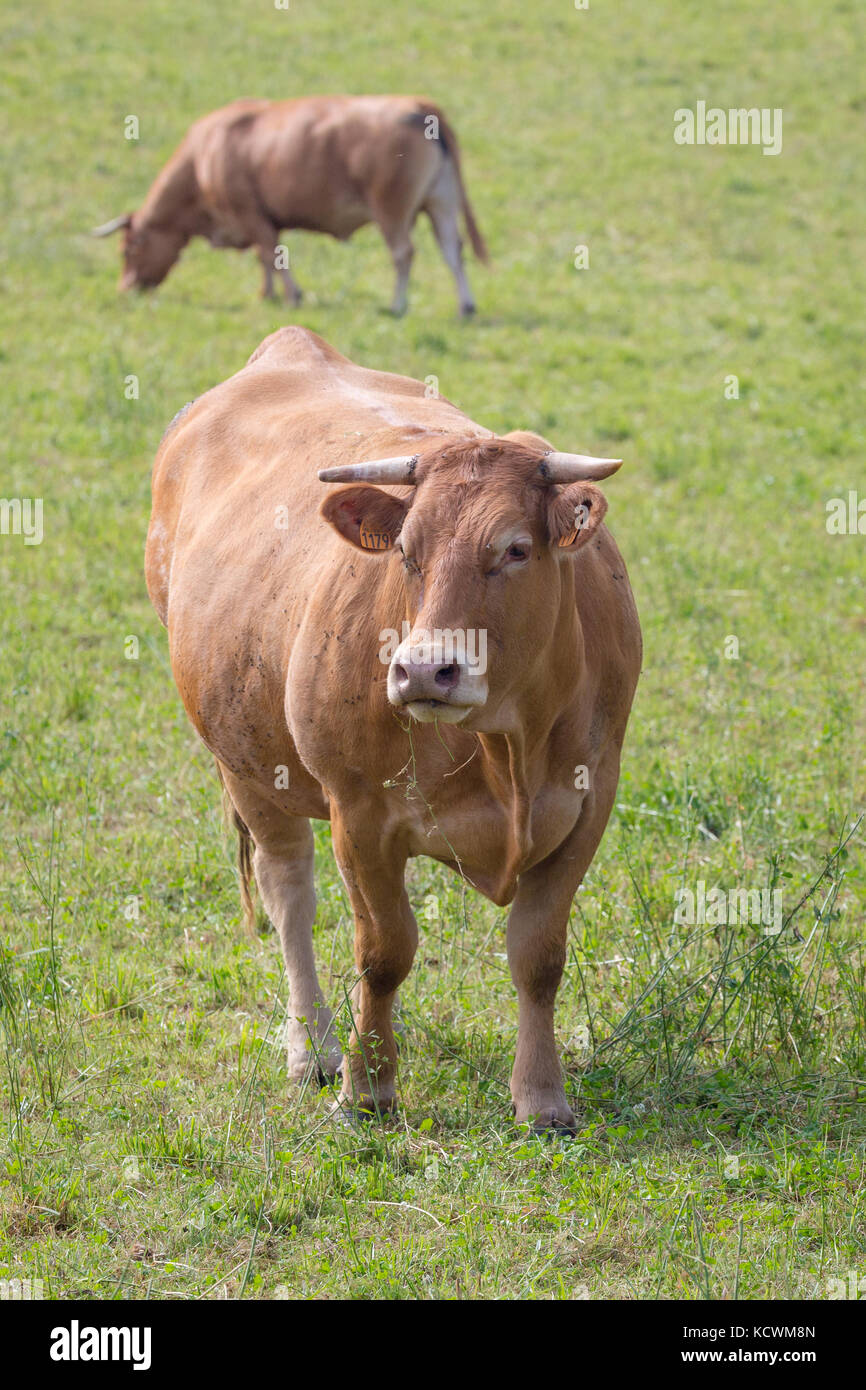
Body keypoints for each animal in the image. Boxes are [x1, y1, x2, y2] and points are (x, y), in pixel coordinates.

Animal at [93, 96, 488, 316]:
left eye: (127, 250)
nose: (124, 289)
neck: (203, 156)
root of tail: (419, 105)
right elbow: (265, 258)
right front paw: (265, 293)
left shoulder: (251, 215)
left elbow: (270, 254)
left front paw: (291, 296)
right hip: (440, 204)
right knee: (453, 251)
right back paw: (466, 306)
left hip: (391, 210)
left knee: (404, 254)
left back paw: (397, 305)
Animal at [145, 326, 642, 1132]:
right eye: (407, 551)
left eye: (516, 548)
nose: (422, 671)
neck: (506, 746)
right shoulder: (361, 817)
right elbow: (384, 953)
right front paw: (368, 1083)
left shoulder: (588, 806)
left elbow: (538, 957)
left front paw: (542, 1097)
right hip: (243, 764)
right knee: (289, 892)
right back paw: (315, 1045)